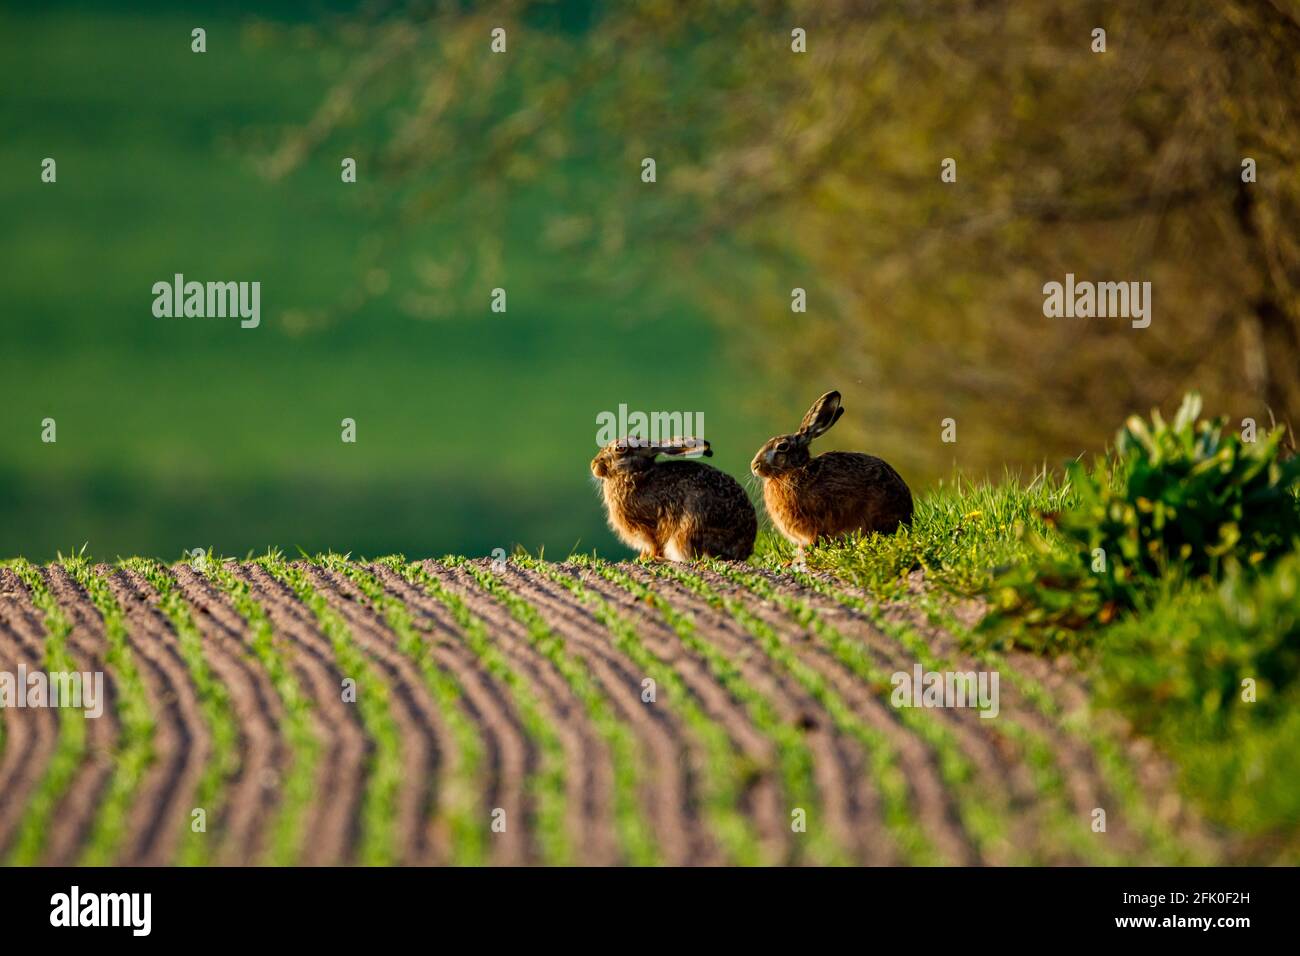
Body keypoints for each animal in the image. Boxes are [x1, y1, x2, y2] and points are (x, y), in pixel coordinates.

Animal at [591, 436, 757, 561]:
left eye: (620, 448)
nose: (593, 464)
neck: (633, 474)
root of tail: (744, 547)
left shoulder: (650, 527)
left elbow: (655, 545)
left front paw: (647, 559)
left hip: (690, 526)